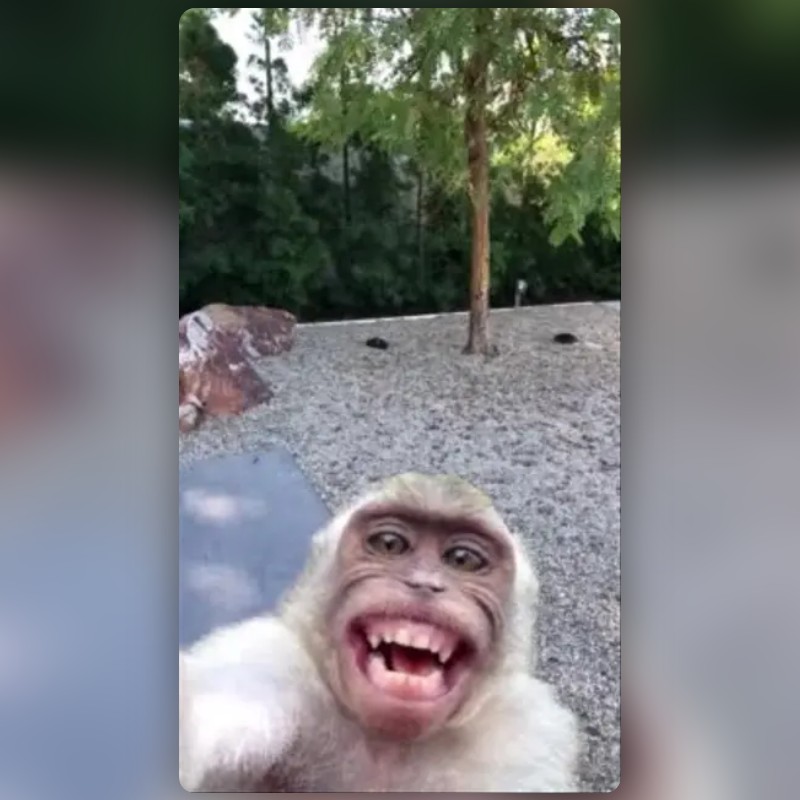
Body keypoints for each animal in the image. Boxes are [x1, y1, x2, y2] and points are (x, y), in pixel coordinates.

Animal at [179, 473, 580, 792]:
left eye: (462, 559)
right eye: (389, 544)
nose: (424, 583)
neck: (388, 743)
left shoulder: (526, 742)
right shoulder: (266, 664)